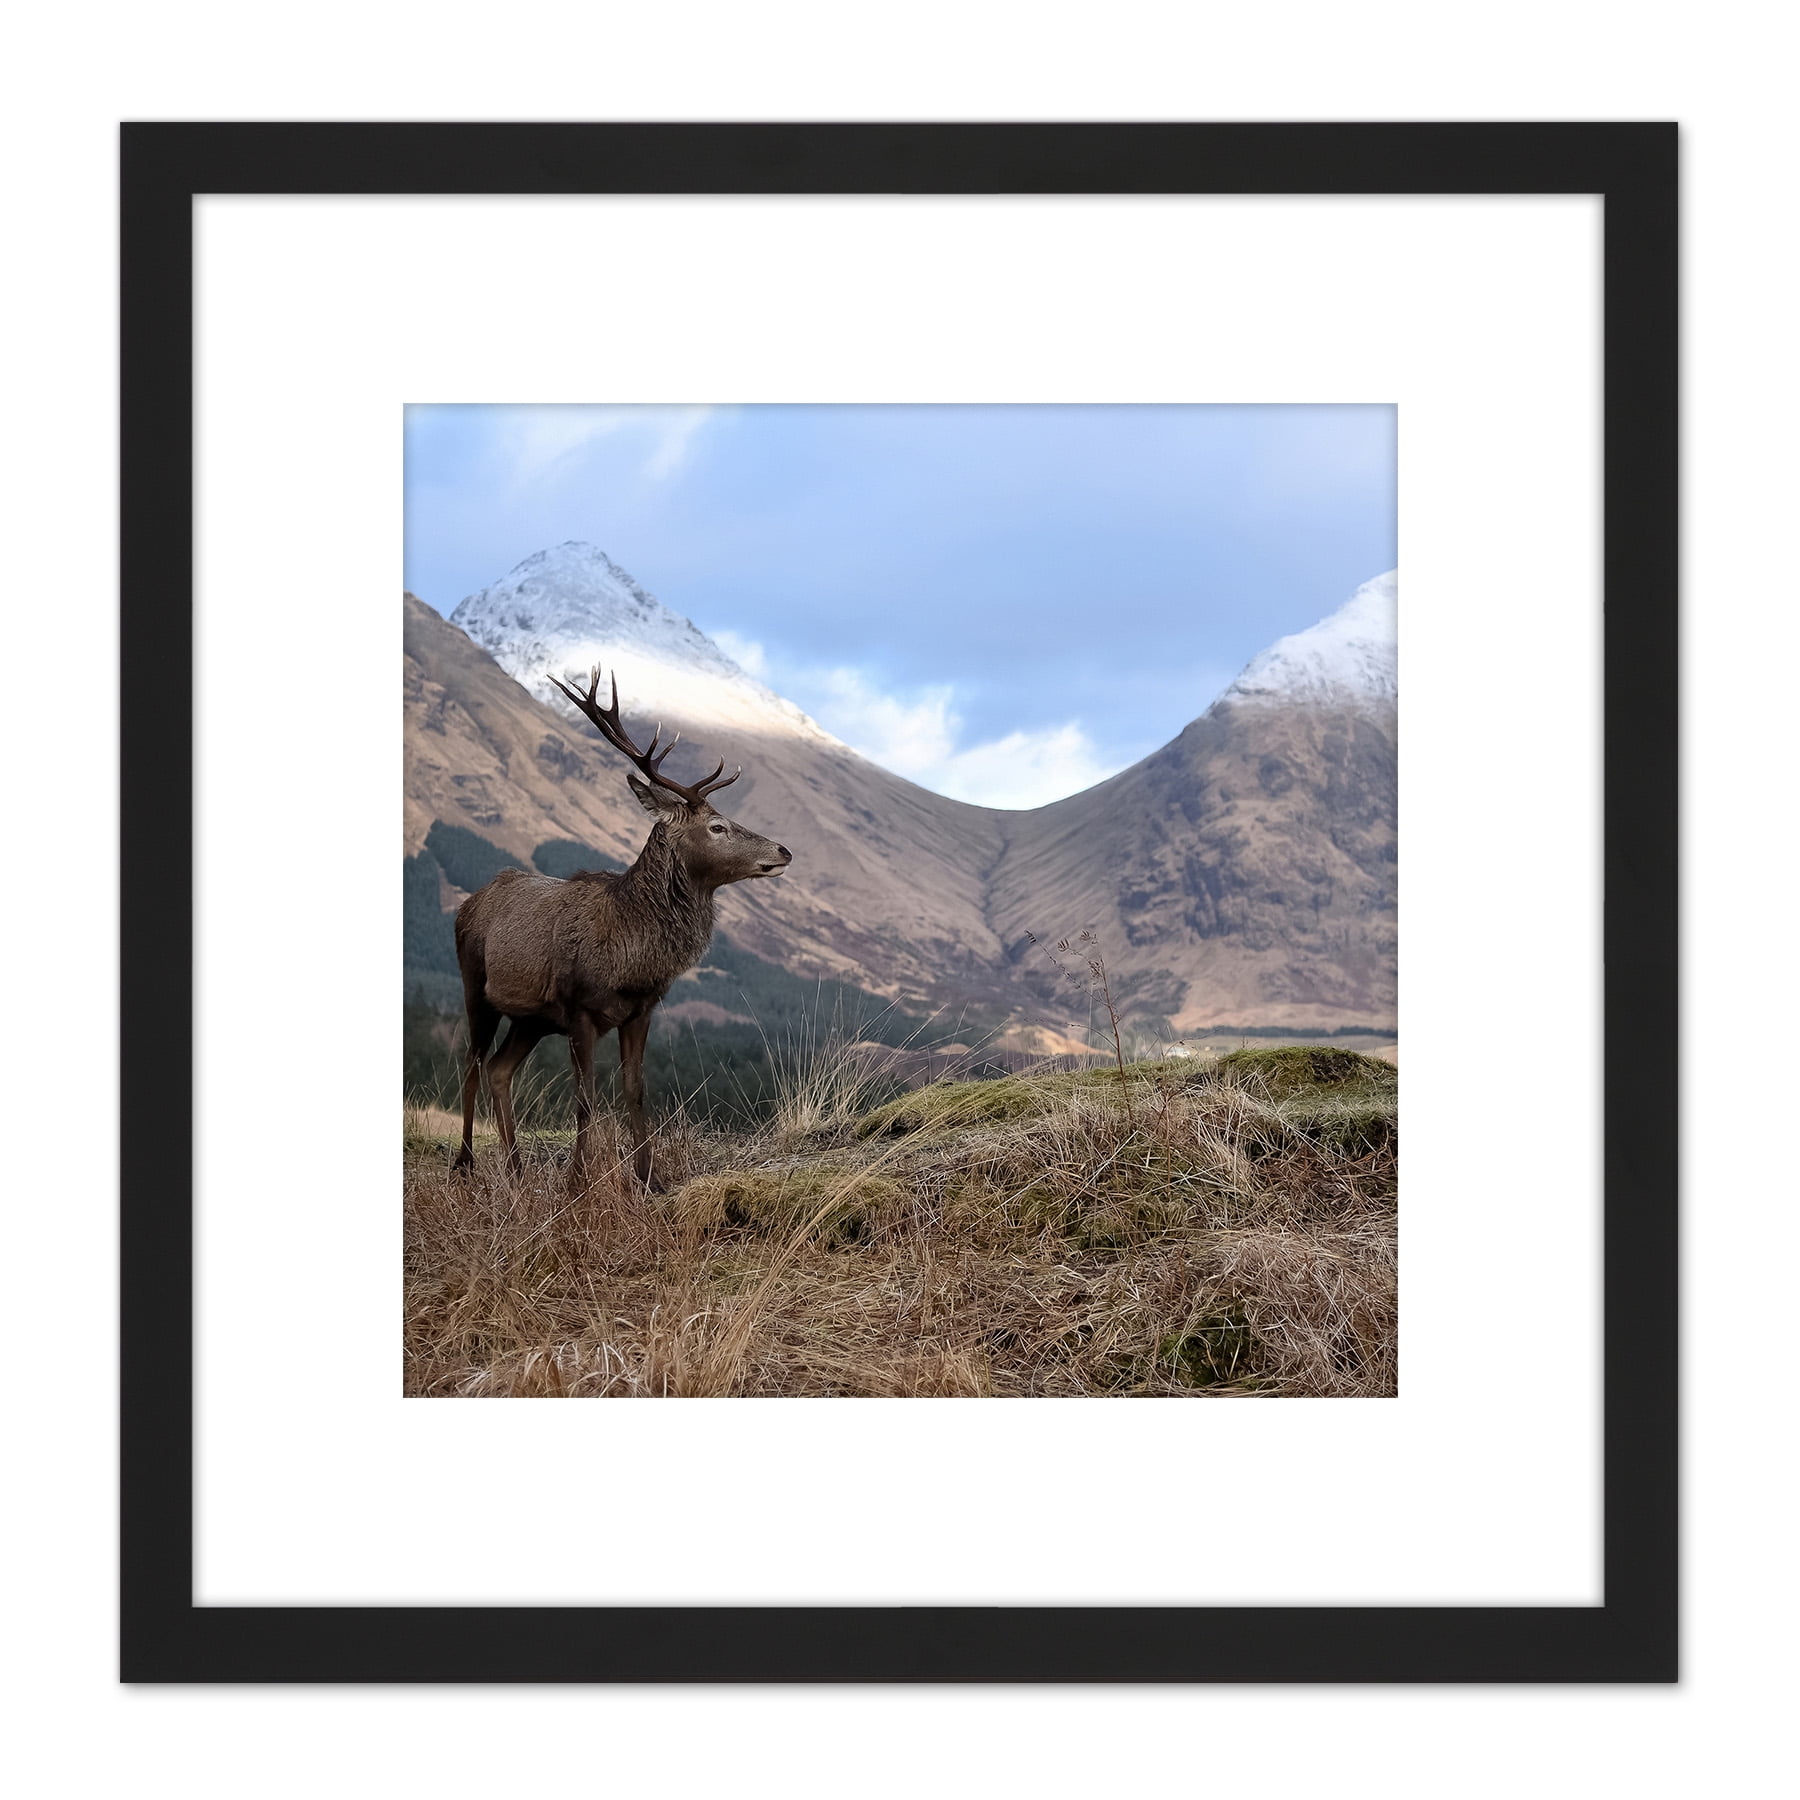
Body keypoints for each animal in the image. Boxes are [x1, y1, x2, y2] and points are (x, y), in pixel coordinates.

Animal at [451, 666, 791, 1188]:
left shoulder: (640, 1011)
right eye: (717, 826)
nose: (783, 851)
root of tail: (468, 905)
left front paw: (650, 1179)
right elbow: (585, 1098)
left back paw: (516, 1168)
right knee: (471, 1066)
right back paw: (466, 1164)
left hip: (531, 1019)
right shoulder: (578, 1009)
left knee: (498, 1070)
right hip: (476, 986)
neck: (631, 953)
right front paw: (577, 1181)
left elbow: (635, 1090)